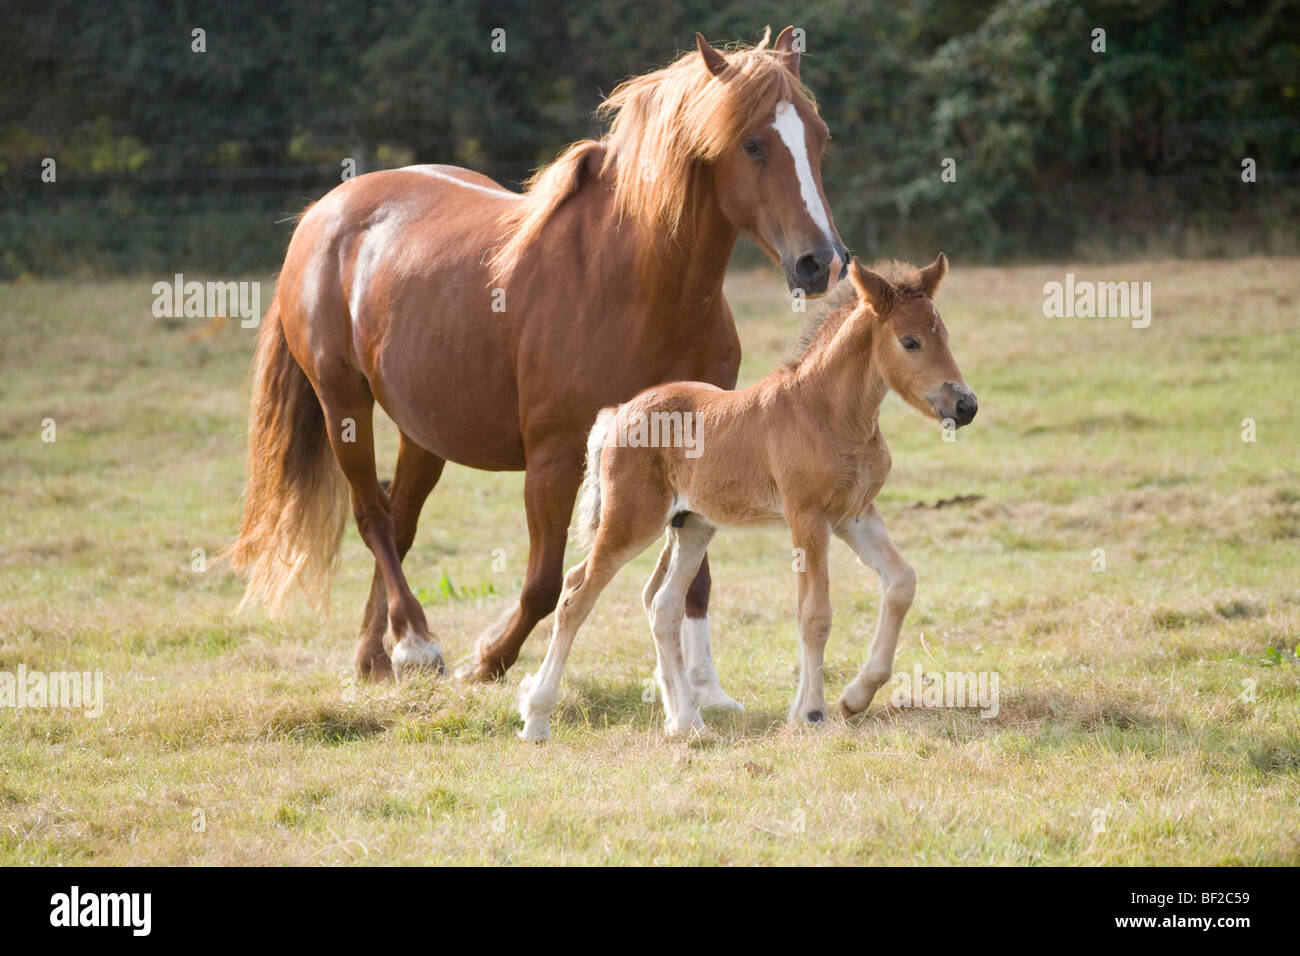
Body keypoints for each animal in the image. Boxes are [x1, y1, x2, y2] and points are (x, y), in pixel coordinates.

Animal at [225, 27, 849, 691]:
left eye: (819, 137)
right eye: (752, 144)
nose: (822, 262)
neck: (636, 287)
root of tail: (325, 211)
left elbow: (693, 584)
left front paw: (704, 688)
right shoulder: (553, 460)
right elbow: (547, 583)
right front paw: (488, 660)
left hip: (424, 431)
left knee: (398, 520)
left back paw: (376, 654)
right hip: (343, 401)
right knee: (372, 516)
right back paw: (415, 640)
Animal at [516, 255, 978, 741]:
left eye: (944, 335)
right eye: (910, 341)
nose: (965, 406)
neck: (829, 413)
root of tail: (618, 412)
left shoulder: (854, 515)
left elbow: (901, 581)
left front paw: (855, 697)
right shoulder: (807, 517)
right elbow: (815, 613)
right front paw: (811, 713)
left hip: (692, 526)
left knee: (663, 604)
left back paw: (688, 723)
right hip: (632, 522)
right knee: (577, 593)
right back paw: (537, 719)